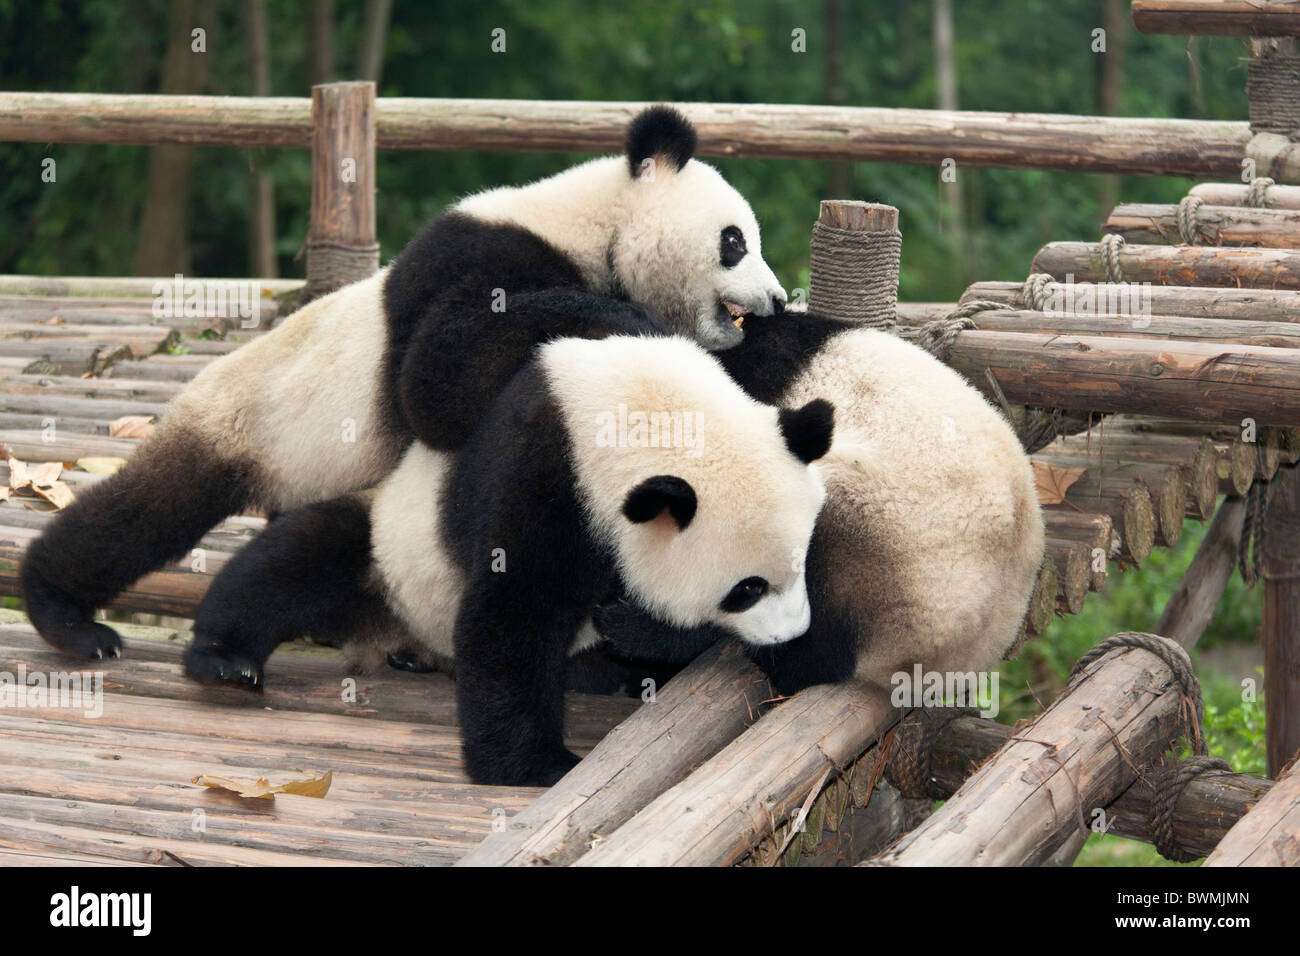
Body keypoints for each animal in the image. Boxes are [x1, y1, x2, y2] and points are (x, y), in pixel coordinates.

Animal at [21, 105, 787, 661]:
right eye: (735, 241)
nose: (778, 301)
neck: (594, 220)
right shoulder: (484, 253)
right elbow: (435, 385)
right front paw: (622, 320)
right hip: (240, 422)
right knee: (146, 513)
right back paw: (69, 616)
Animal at [183, 334, 835, 787]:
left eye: (804, 557)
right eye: (746, 589)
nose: (793, 634)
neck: (642, 407)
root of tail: (398, 638)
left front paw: (638, 628)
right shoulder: (548, 475)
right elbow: (516, 611)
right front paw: (535, 765)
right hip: (392, 553)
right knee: (297, 562)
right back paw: (225, 660)